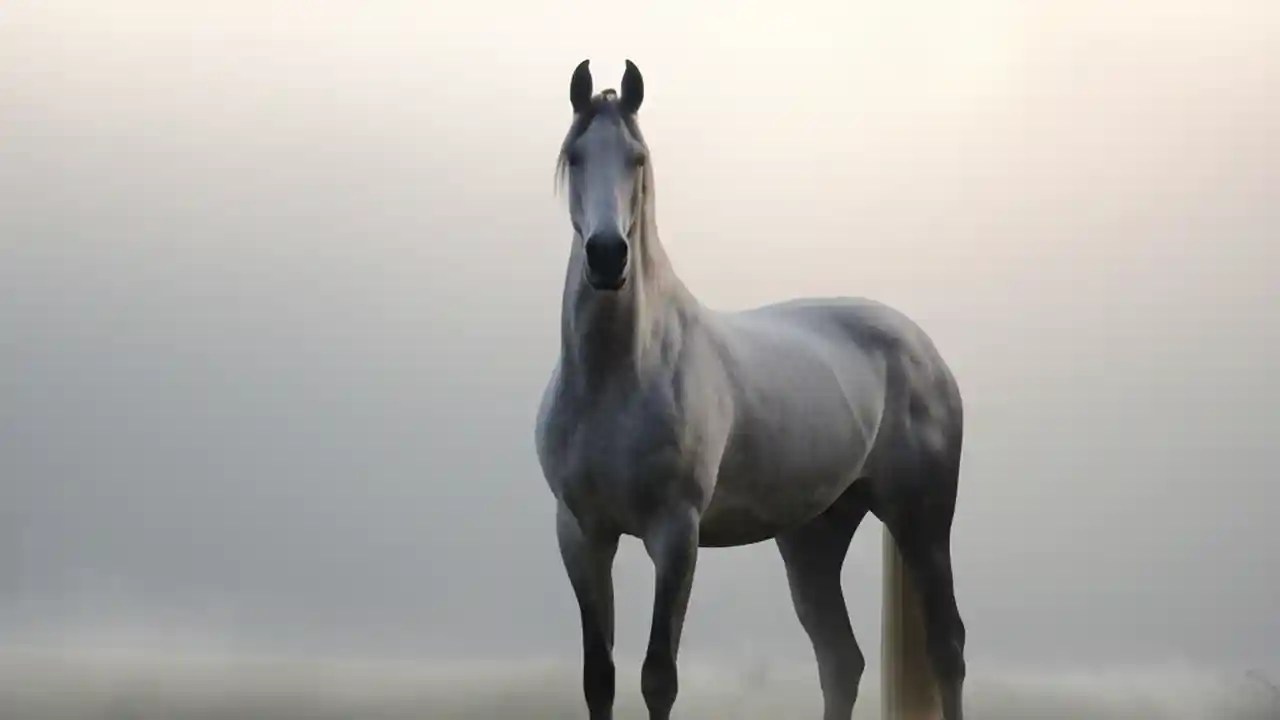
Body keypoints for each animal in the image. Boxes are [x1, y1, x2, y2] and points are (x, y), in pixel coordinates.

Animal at [534, 59, 966, 720]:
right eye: (576, 156)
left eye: (637, 158)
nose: (607, 256)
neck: (618, 377)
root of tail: (922, 347)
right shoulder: (581, 534)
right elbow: (598, 677)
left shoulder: (675, 535)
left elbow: (658, 676)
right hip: (814, 538)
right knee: (841, 660)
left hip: (921, 517)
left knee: (947, 648)